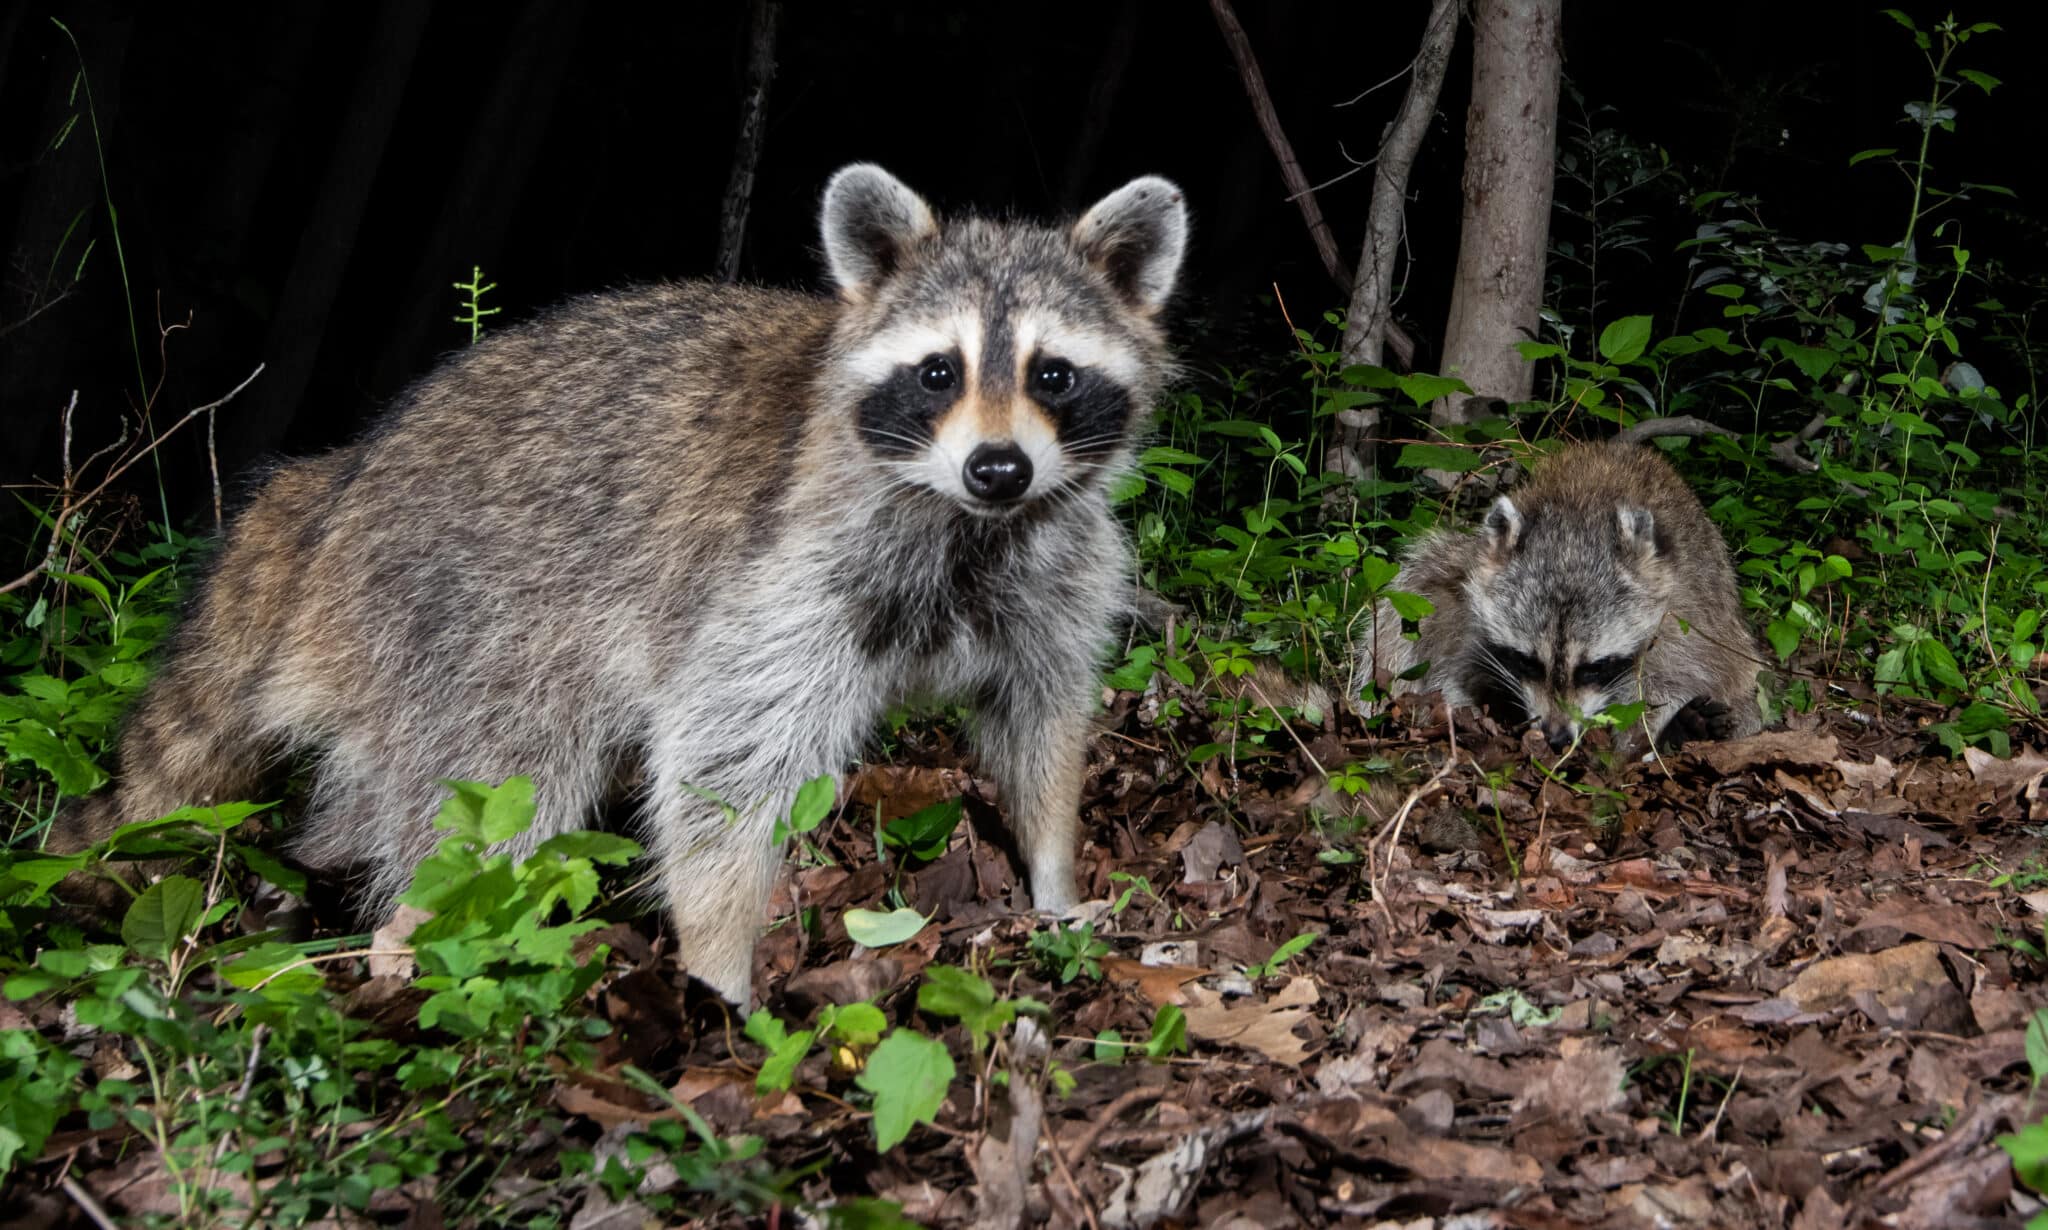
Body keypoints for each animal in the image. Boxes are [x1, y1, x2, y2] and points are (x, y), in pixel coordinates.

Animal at [55, 165, 1189, 1005]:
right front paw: (720, 964)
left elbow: (1040, 718)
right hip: (460, 620)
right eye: (938, 371)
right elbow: (722, 769)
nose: (997, 467)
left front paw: (1052, 873)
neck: (970, 525)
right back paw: (414, 926)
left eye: (1052, 373)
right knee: (489, 793)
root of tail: (336, 484)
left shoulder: (1052, 566)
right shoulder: (775, 572)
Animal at [1358, 442, 1761, 753]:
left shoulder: (1684, 619)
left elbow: (1679, 678)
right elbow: (1450, 662)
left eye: (1594, 668)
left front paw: (1650, 735)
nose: (1556, 737)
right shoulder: (1466, 604)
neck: (1575, 528)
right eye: (1527, 662)